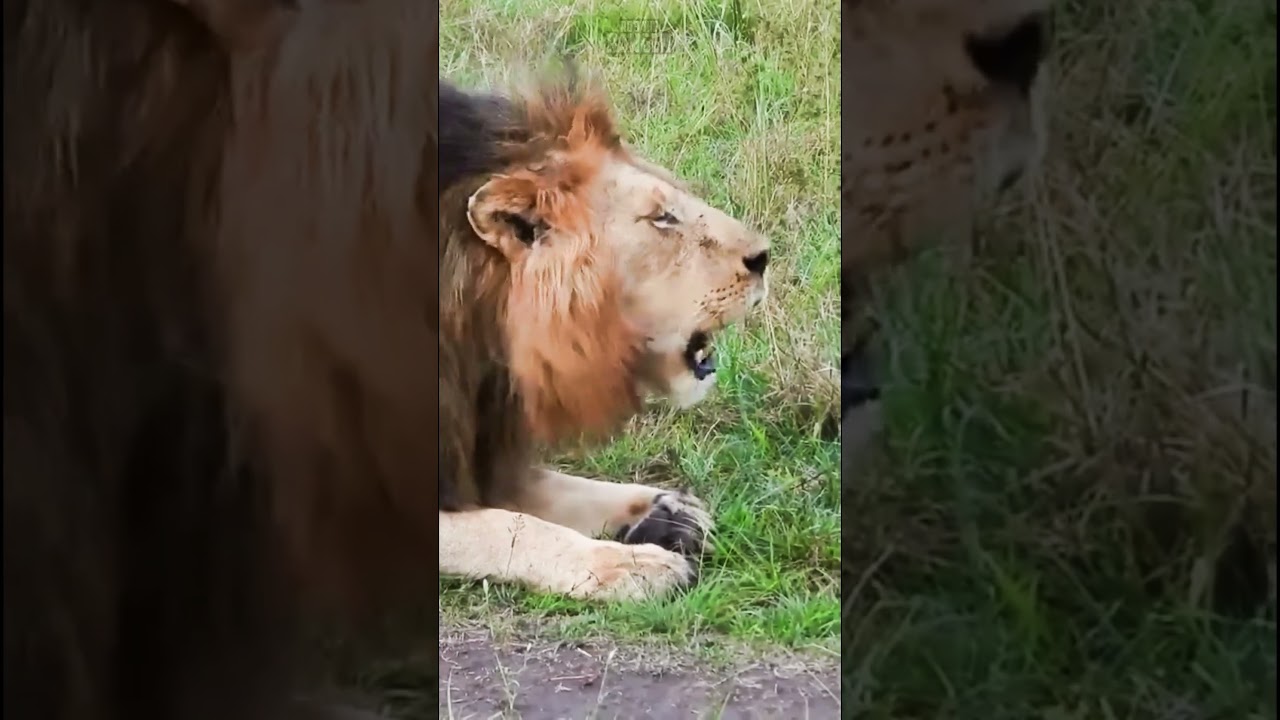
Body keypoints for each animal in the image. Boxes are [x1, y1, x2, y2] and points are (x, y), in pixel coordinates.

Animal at [438, 76, 770, 602]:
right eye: (662, 218)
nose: (764, 258)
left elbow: (547, 488)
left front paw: (664, 511)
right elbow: (511, 526)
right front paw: (628, 565)